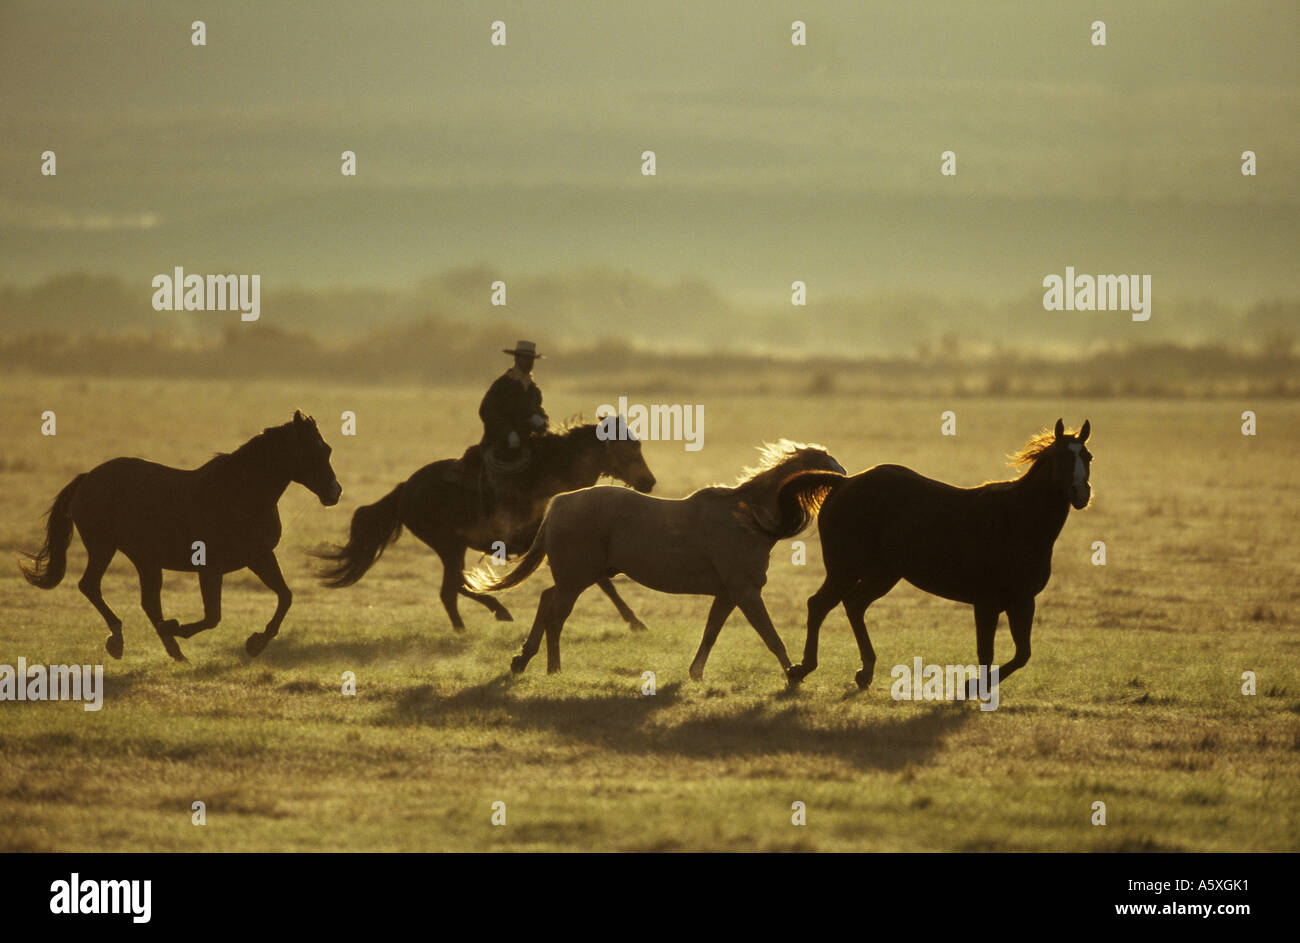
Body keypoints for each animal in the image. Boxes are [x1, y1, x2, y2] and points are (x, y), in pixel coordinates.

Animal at [18, 410, 342, 662]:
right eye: (315, 451)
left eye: (327, 449)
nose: (335, 492)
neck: (239, 494)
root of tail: (88, 478)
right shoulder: (210, 568)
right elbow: (213, 616)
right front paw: (178, 628)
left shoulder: (260, 556)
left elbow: (285, 597)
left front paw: (255, 643)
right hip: (104, 547)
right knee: (91, 586)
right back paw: (121, 640)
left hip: (144, 560)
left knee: (147, 602)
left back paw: (172, 650)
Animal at [313, 417, 658, 631]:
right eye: (628, 448)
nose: (649, 482)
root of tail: (404, 490)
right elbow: (604, 583)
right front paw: (636, 622)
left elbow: (604, 582)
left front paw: (635, 621)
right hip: (449, 546)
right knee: (453, 587)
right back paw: (494, 614)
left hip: (451, 547)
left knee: (451, 590)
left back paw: (468, 625)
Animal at [467, 441, 846, 679]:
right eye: (826, 468)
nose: (847, 484)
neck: (746, 519)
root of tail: (558, 503)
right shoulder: (746, 592)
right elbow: (770, 636)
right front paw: (793, 675)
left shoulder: (727, 595)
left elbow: (711, 633)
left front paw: (695, 675)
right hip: (576, 579)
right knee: (554, 614)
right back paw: (546, 666)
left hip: (579, 577)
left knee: (547, 603)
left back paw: (530, 662)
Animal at [783, 419, 1092, 697]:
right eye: (1063, 458)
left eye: (1087, 457)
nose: (1081, 494)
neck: (1017, 519)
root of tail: (843, 483)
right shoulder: (987, 602)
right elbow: (987, 652)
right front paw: (972, 687)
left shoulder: (1023, 601)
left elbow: (1022, 654)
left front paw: (975, 686)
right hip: (844, 569)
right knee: (819, 605)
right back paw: (800, 669)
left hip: (883, 573)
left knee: (854, 604)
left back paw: (864, 672)